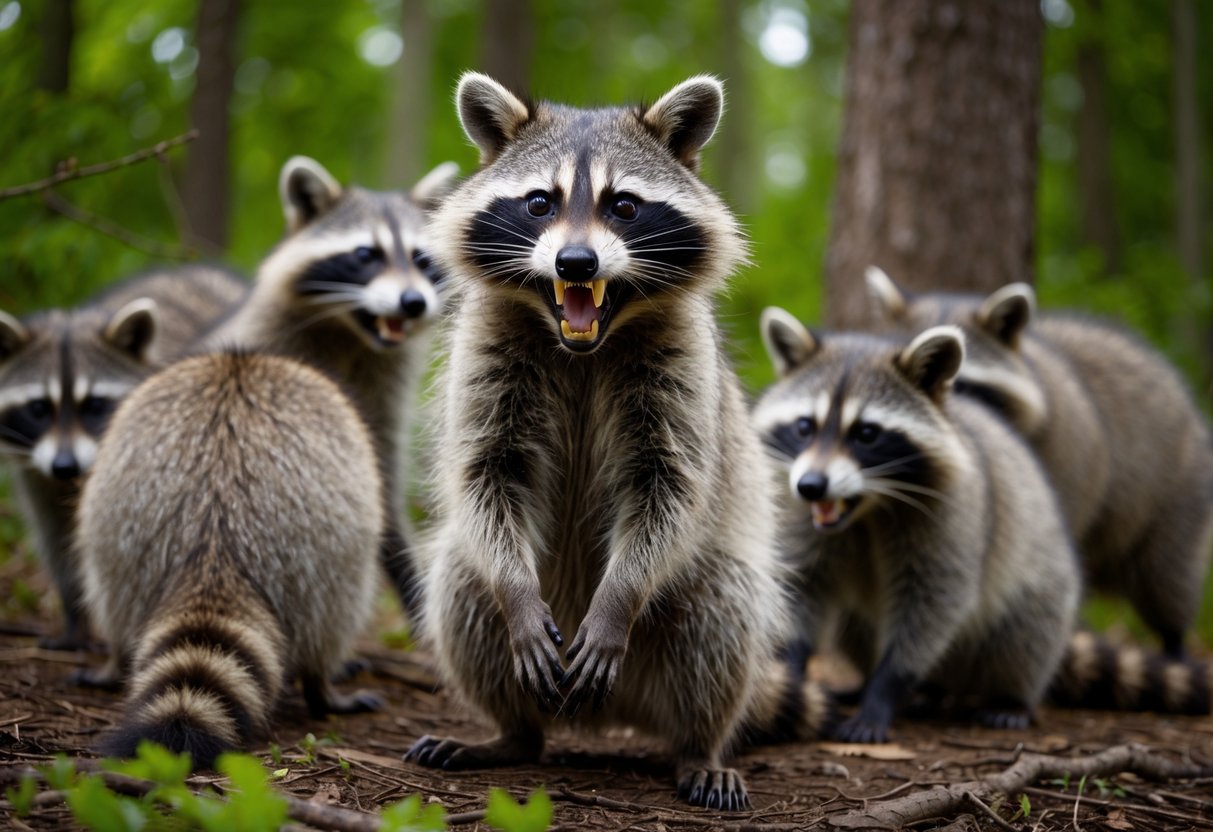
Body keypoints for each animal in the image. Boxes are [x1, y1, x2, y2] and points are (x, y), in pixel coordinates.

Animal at [0, 266, 247, 649]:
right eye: (39, 408)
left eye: (94, 405)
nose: (64, 466)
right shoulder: (38, 474)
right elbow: (57, 537)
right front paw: (74, 618)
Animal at [76, 352, 383, 767]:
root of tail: (216, 532)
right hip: (329, 553)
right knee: (339, 610)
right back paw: (322, 687)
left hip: (120, 532)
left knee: (113, 598)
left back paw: (116, 656)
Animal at [201, 157, 458, 618]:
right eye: (365, 255)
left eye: (422, 258)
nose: (413, 302)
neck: (353, 339)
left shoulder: (383, 401)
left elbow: (383, 493)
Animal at [404, 73, 827, 811]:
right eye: (539, 203)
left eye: (623, 206)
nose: (576, 262)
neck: (582, 345)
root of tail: (610, 717)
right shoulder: (487, 353)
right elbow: (488, 476)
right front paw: (516, 594)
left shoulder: (681, 367)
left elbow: (670, 489)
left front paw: (617, 599)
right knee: (460, 581)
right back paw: (509, 733)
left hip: (687, 622)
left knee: (724, 611)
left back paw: (699, 746)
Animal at [753, 310, 1081, 742]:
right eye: (805, 426)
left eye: (866, 433)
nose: (811, 486)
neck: (868, 509)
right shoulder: (801, 517)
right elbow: (800, 585)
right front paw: (791, 673)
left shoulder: (953, 516)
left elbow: (933, 604)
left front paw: (884, 691)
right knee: (852, 625)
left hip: (1044, 580)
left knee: (1025, 634)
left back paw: (1008, 697)